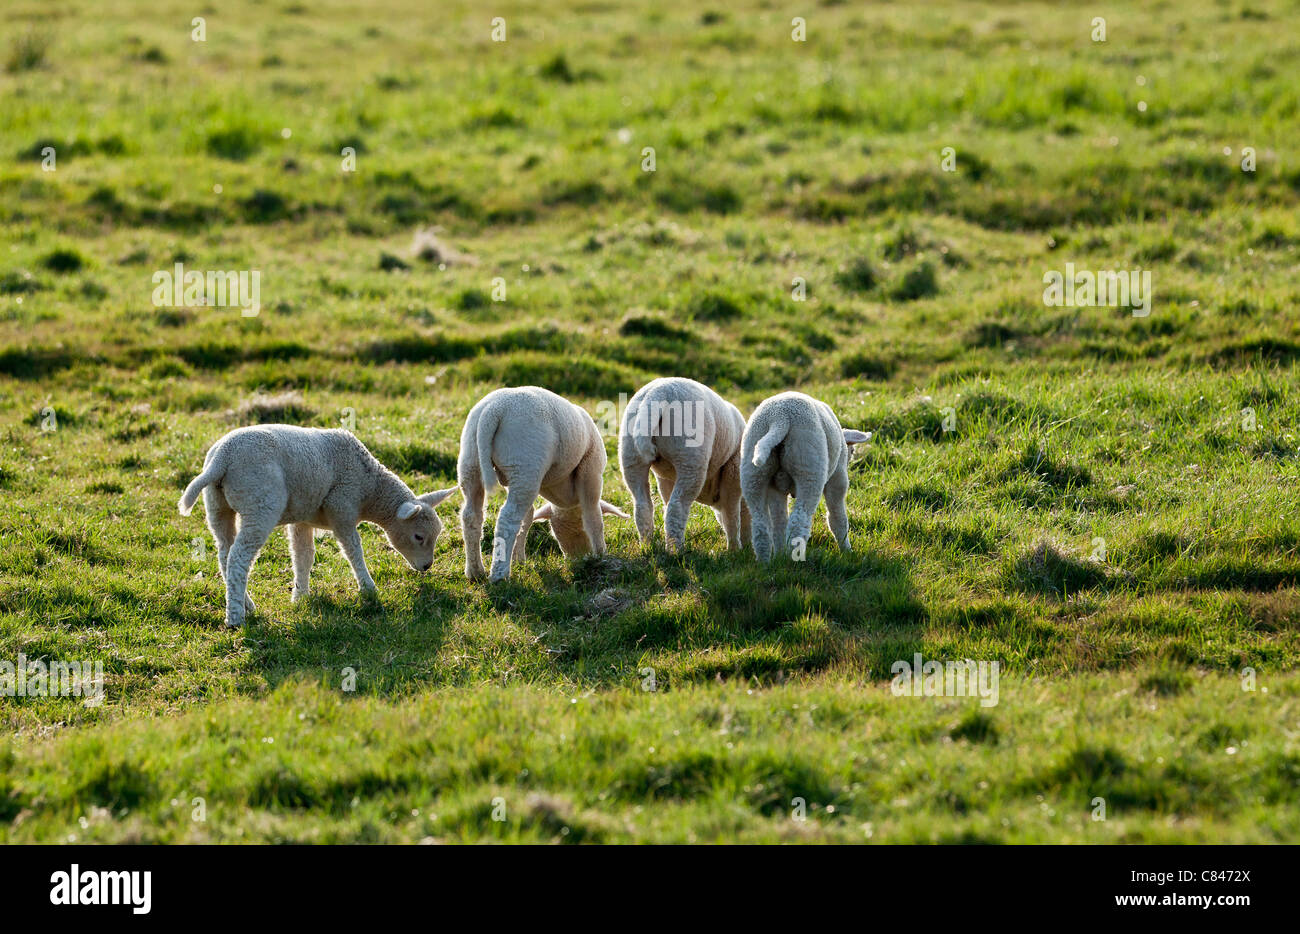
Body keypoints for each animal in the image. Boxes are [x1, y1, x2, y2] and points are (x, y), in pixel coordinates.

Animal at [177, 425, 457, 627]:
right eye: (418, 536)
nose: (427, 566)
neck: (370, 487)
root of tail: (222, 458)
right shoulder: (342, 507)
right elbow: (354, 551)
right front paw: (368, 589)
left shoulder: (303, 519)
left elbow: (303, 556)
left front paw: (300, 596)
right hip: (260, 503)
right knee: (237, 557)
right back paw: (235, 617)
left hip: (217, 505)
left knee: (224, 553)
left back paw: (245, 603)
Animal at [457, 386, 629, 582]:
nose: (580, 561)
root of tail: (493, 410)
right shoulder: (591, 470)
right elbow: (593, 515)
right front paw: (602, 555)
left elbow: (527, 518)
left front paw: (518, 559)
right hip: (525, 461)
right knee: (508, 518)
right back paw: (499, 575)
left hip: (472, 460)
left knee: (472, 515)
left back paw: (475, 571)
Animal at [618, 376, 750, 551]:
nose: (749, 547)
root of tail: (657, 393)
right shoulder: (733, 471)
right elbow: (732, 514)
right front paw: (735, 549)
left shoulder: (666, 479)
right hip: (691, 458)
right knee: (677, 506)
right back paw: (676, 550)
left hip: (631, 455)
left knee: (643, 506)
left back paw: (648, 546)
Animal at [740, 391, 870, 562]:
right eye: (853, 451)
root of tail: (779, 418)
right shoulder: (838, 477)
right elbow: (837, 518)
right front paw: (847, 551)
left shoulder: (776, 490)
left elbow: (779, 522)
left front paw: (780, 553)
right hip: (809, 466)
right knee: (798, 521)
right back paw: (793, 560)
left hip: (753, 472)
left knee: (762, 525)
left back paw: (767, 562)